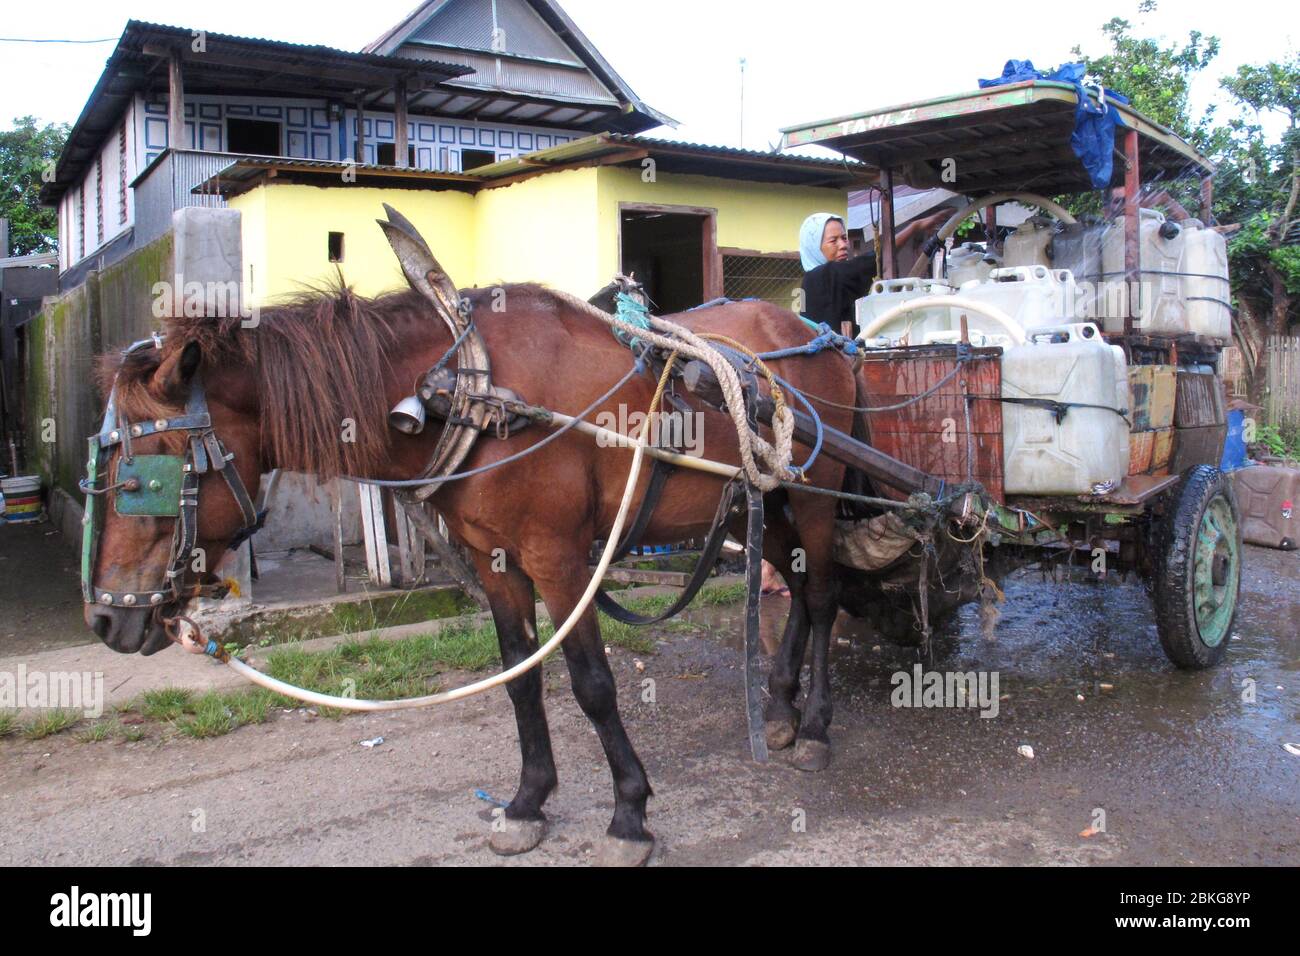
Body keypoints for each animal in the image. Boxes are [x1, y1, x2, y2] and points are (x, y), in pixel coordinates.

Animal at [83, 217, 859, 865]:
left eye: (141, 477)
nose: (105, 620)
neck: (467, 387)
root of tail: (814, 329)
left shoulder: (557, 558)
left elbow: (593, 684)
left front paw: (630, 814)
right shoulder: (496, 560)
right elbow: (520, 676)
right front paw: (527, 803)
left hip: (817, 497)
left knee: (821, 598)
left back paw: (818, 729)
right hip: (763, 503)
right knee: (791, 586)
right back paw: (780, 710)